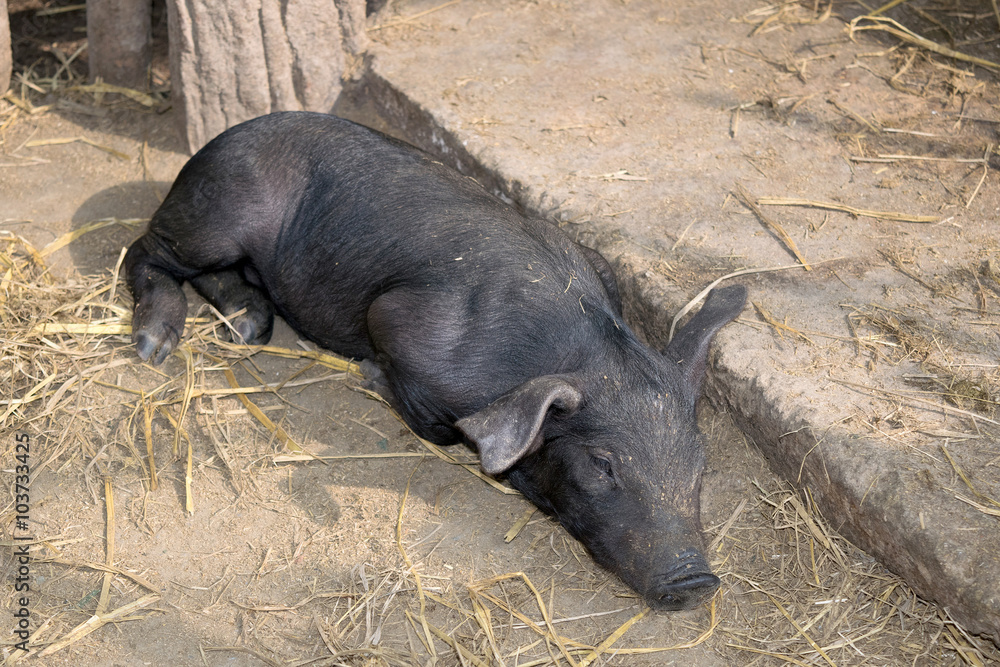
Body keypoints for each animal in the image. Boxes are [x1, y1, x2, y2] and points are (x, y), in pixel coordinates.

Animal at [124, 112, 747, 611]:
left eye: (700, 465)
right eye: (603, 465)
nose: (696, 582)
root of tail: (213, 144)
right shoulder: (397, 320)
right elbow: (434, 421)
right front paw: (372, 374)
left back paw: (249, 324)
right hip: (213, 222)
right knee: (144, 250)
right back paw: (157, 344)